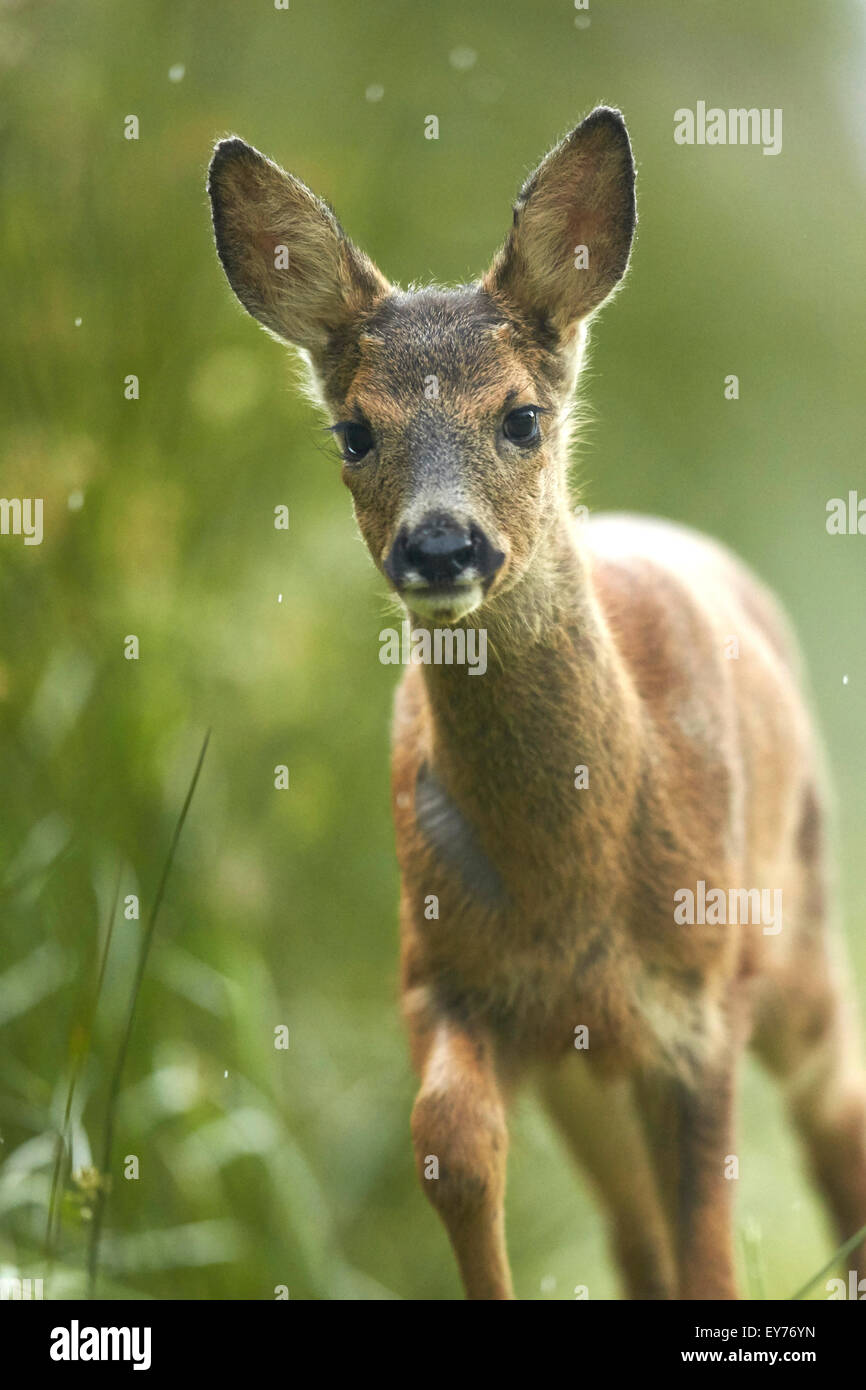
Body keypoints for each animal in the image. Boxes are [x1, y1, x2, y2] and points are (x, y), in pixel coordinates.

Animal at [207, 107, 866, 1299]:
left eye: (521, 417)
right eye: (352, 432)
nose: (438, 544)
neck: (573, 884)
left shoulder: (694, 1002)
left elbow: (711, 1245)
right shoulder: (443, 973)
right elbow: (451, 1145)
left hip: (793, 932)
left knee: (837, 1117)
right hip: (582, 1068)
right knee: (633, 1231)